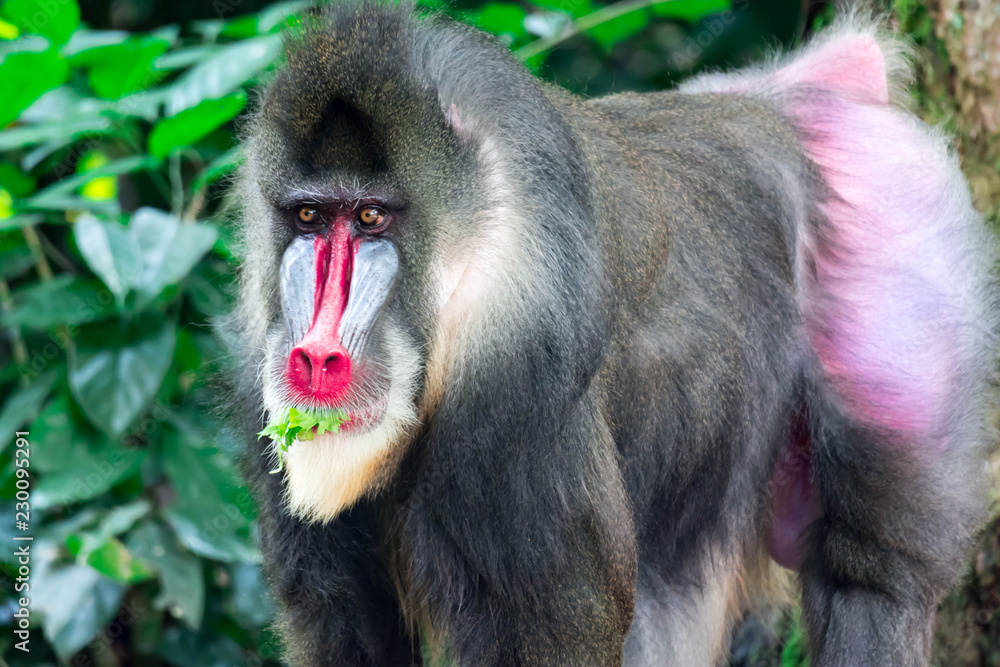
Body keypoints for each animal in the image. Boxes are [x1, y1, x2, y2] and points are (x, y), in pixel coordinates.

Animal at [221, 3, 999, 666]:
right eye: (310, 218)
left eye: (372, 218)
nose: (315, 358)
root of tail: (793, 99)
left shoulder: (526, 391)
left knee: (871, 576)